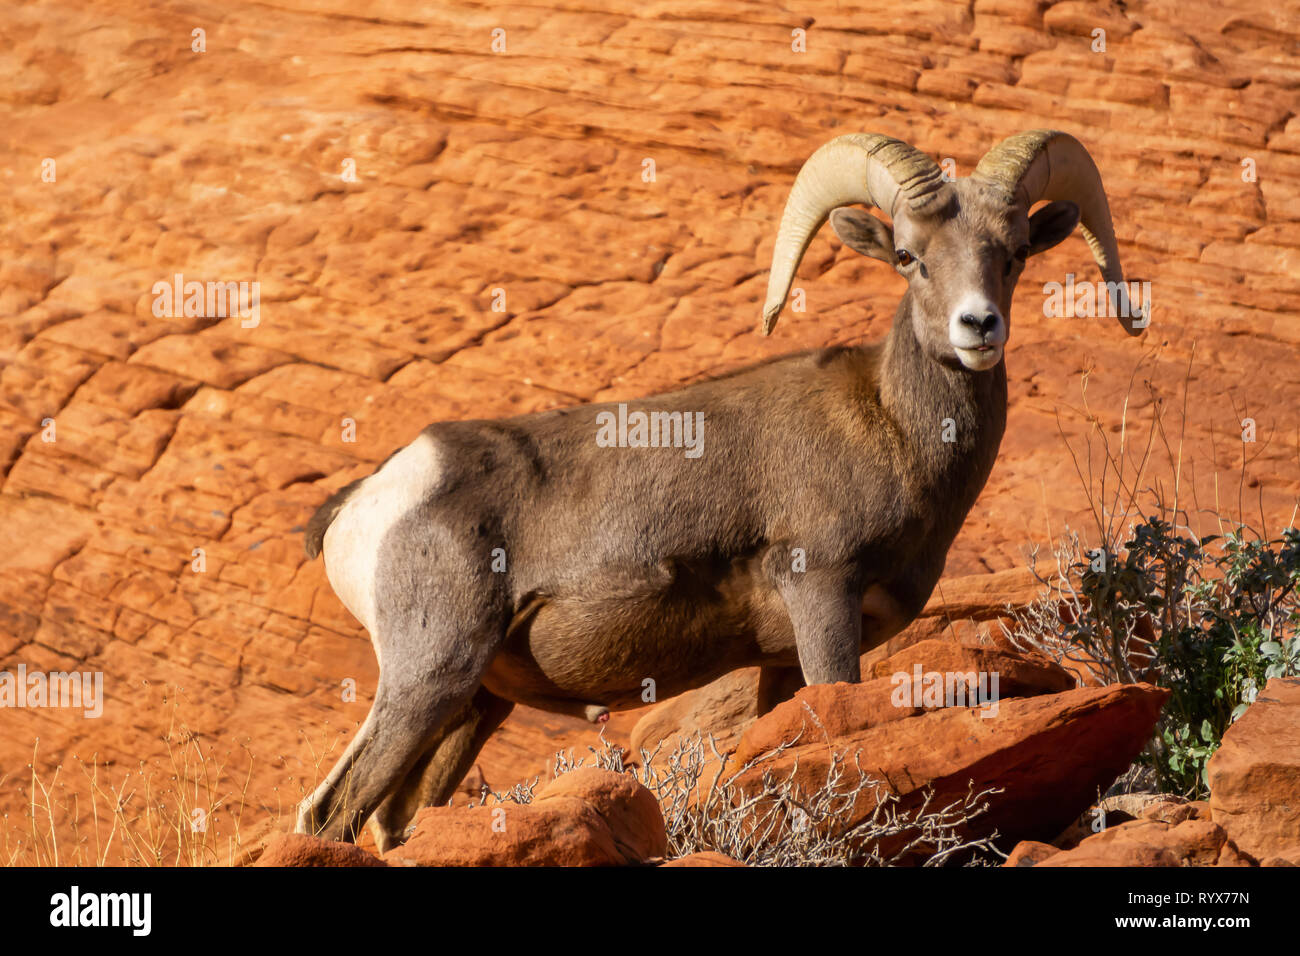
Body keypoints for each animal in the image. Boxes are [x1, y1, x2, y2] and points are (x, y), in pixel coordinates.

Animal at [295, 128, 1145, 850]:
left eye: (1015, 254)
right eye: (910, 256)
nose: (978, 328)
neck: (892, 429)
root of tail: (370, 499)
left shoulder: (779, 661)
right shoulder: (823, 596)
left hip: (474, 705)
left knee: (396, 822)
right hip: (428, 675)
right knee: (330, 814)